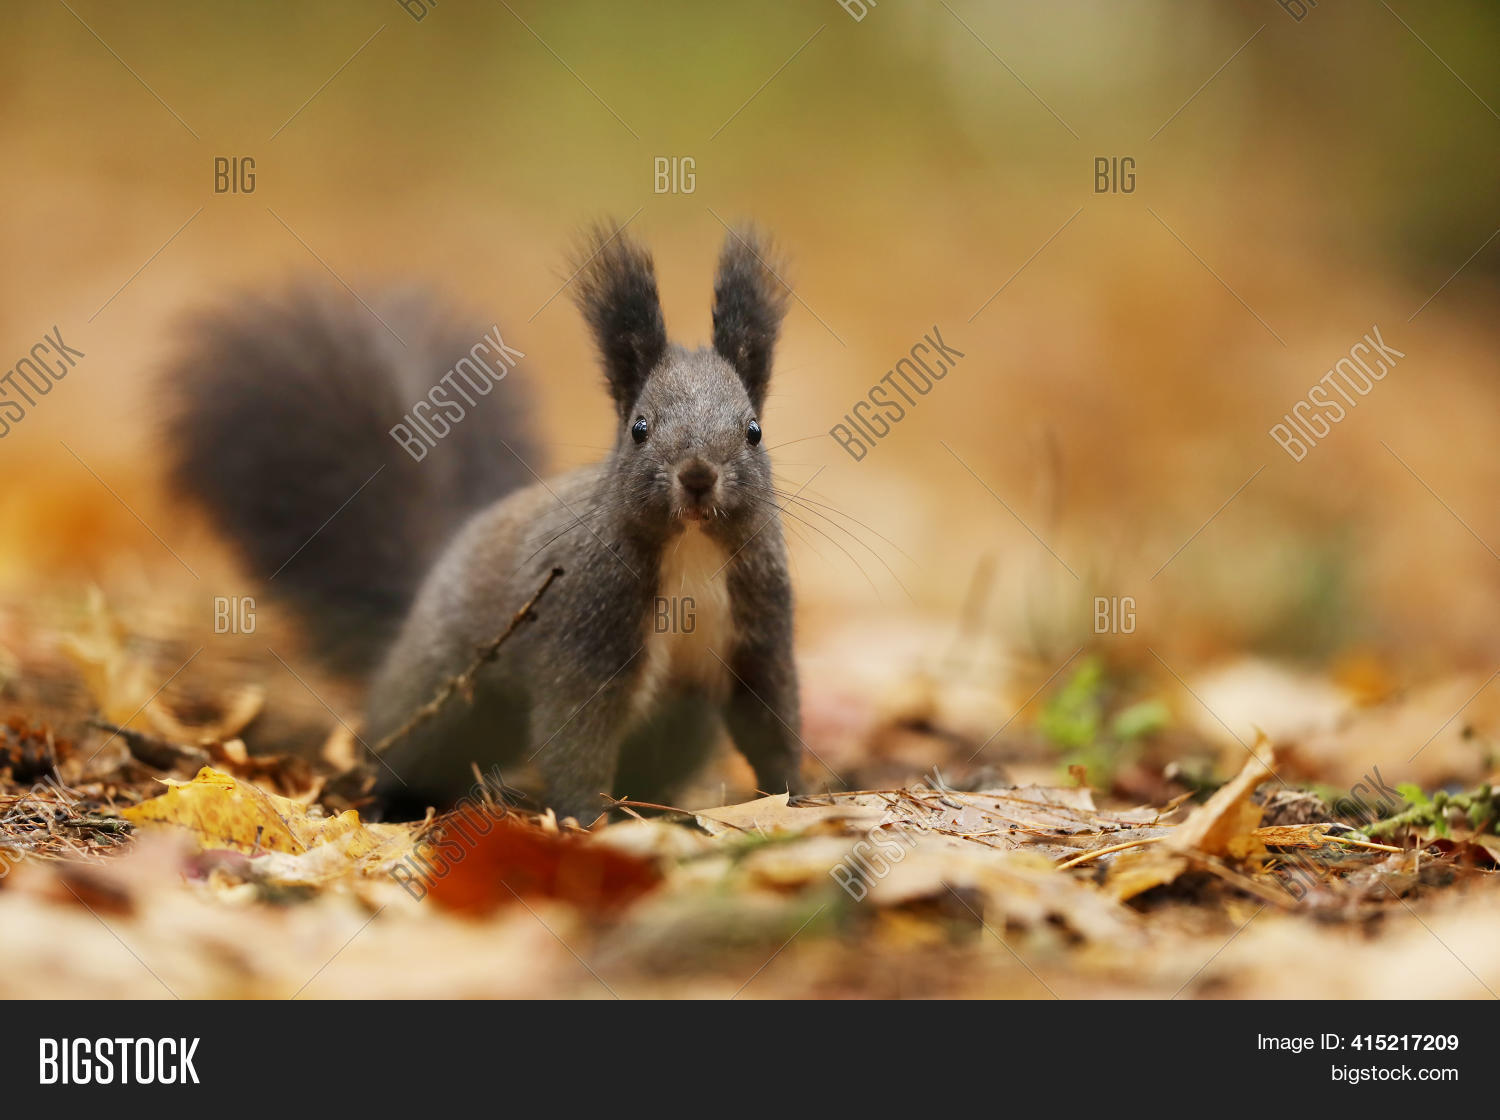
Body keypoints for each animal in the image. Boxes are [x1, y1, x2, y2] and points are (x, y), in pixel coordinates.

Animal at [162, 224, 803, 822]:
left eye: (754, 430)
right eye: (640, 428)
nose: (697, 476)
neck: (691, 551)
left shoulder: (759, 631)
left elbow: (773, 721)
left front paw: (800, 798)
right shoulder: (582, 630)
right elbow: (576, 737)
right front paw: (584, 821)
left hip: (683, 721)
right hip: (441, 693)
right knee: (409, 745)